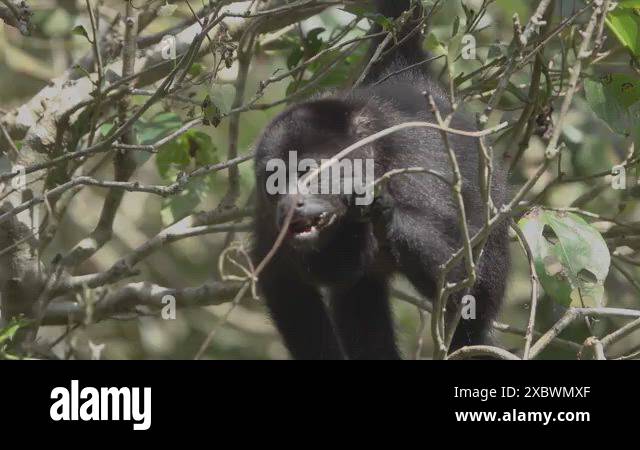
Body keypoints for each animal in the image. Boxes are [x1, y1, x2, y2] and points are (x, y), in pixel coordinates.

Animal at [251, 0, 510, 359]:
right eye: (274, 182)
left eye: (307, 172)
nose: (290, 203)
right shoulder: (264, 214)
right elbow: (286, 285)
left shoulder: (414, 171)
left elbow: (468, 281)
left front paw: (378, 207)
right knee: (358, 300)